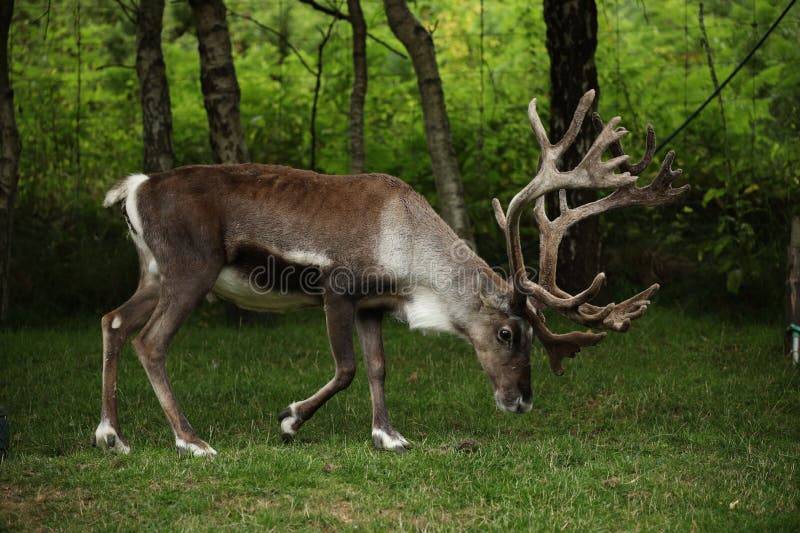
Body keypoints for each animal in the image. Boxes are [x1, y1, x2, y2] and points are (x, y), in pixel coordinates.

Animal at [94, 90, 688, 457]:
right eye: (506, 333)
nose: (521, 400)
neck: (411, 264)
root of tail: (134, 189)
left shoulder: (374, 305)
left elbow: (379, 368)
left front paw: (388, 435)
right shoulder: (338, 287)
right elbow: (347, 368)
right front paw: (289, 419)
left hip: (153, 272)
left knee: (113, 321)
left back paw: (112, 436)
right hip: (190, 268)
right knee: (150, 341)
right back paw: (191, 441)